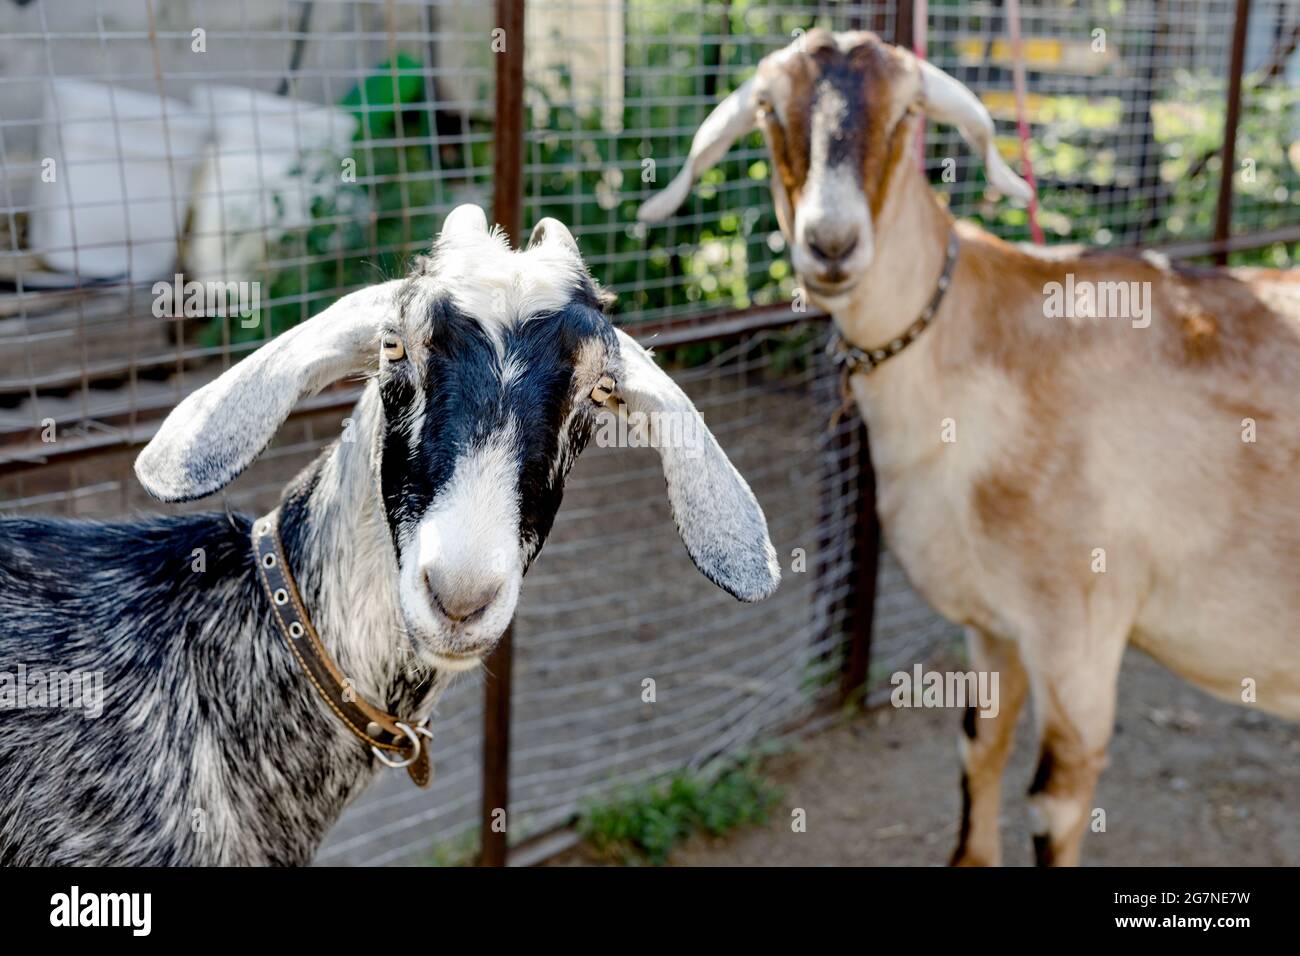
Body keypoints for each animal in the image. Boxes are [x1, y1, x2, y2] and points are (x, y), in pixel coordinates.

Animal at [639, 28, 1300, 866]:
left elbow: (1053, 802)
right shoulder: (992, 627)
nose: (832, 243)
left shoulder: (1080, 624)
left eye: (904, 115)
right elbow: (977, 750)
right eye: (768, 110)